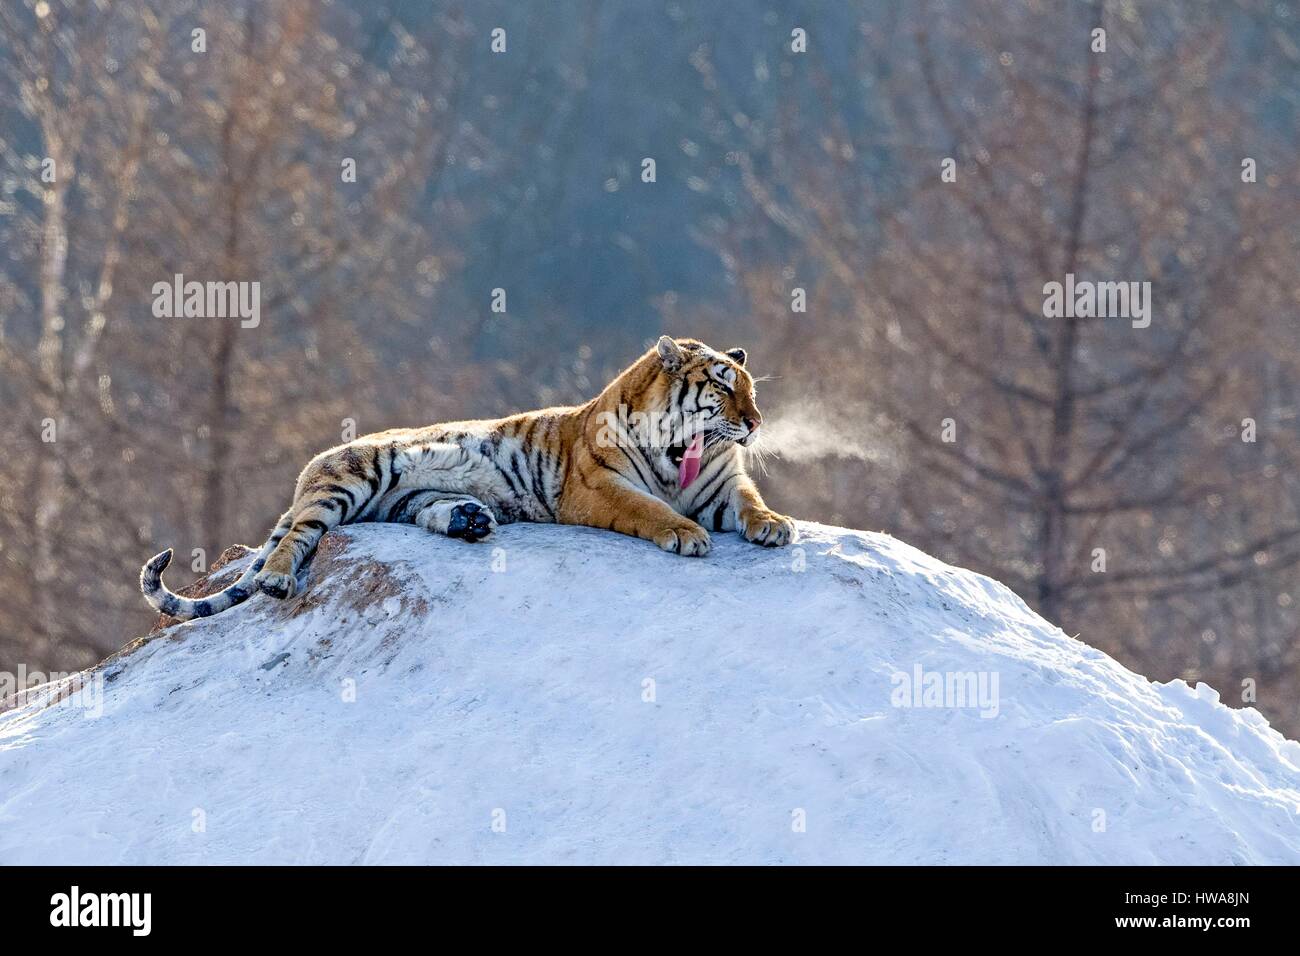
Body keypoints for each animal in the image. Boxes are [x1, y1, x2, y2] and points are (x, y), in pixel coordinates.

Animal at [141, 335, 797, 621]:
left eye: (752, 390)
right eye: (723, 387)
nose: (757, 423)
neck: (682, 449)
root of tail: (313, 466)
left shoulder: (722, 485)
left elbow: (750, 502)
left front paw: (775, 525)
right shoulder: (597, 488)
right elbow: (651, 510)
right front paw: (684, 533)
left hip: (405, 496)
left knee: (421, 512)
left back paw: (470, 518)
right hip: (350, 478)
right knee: (300, 535)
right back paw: (278, 578)